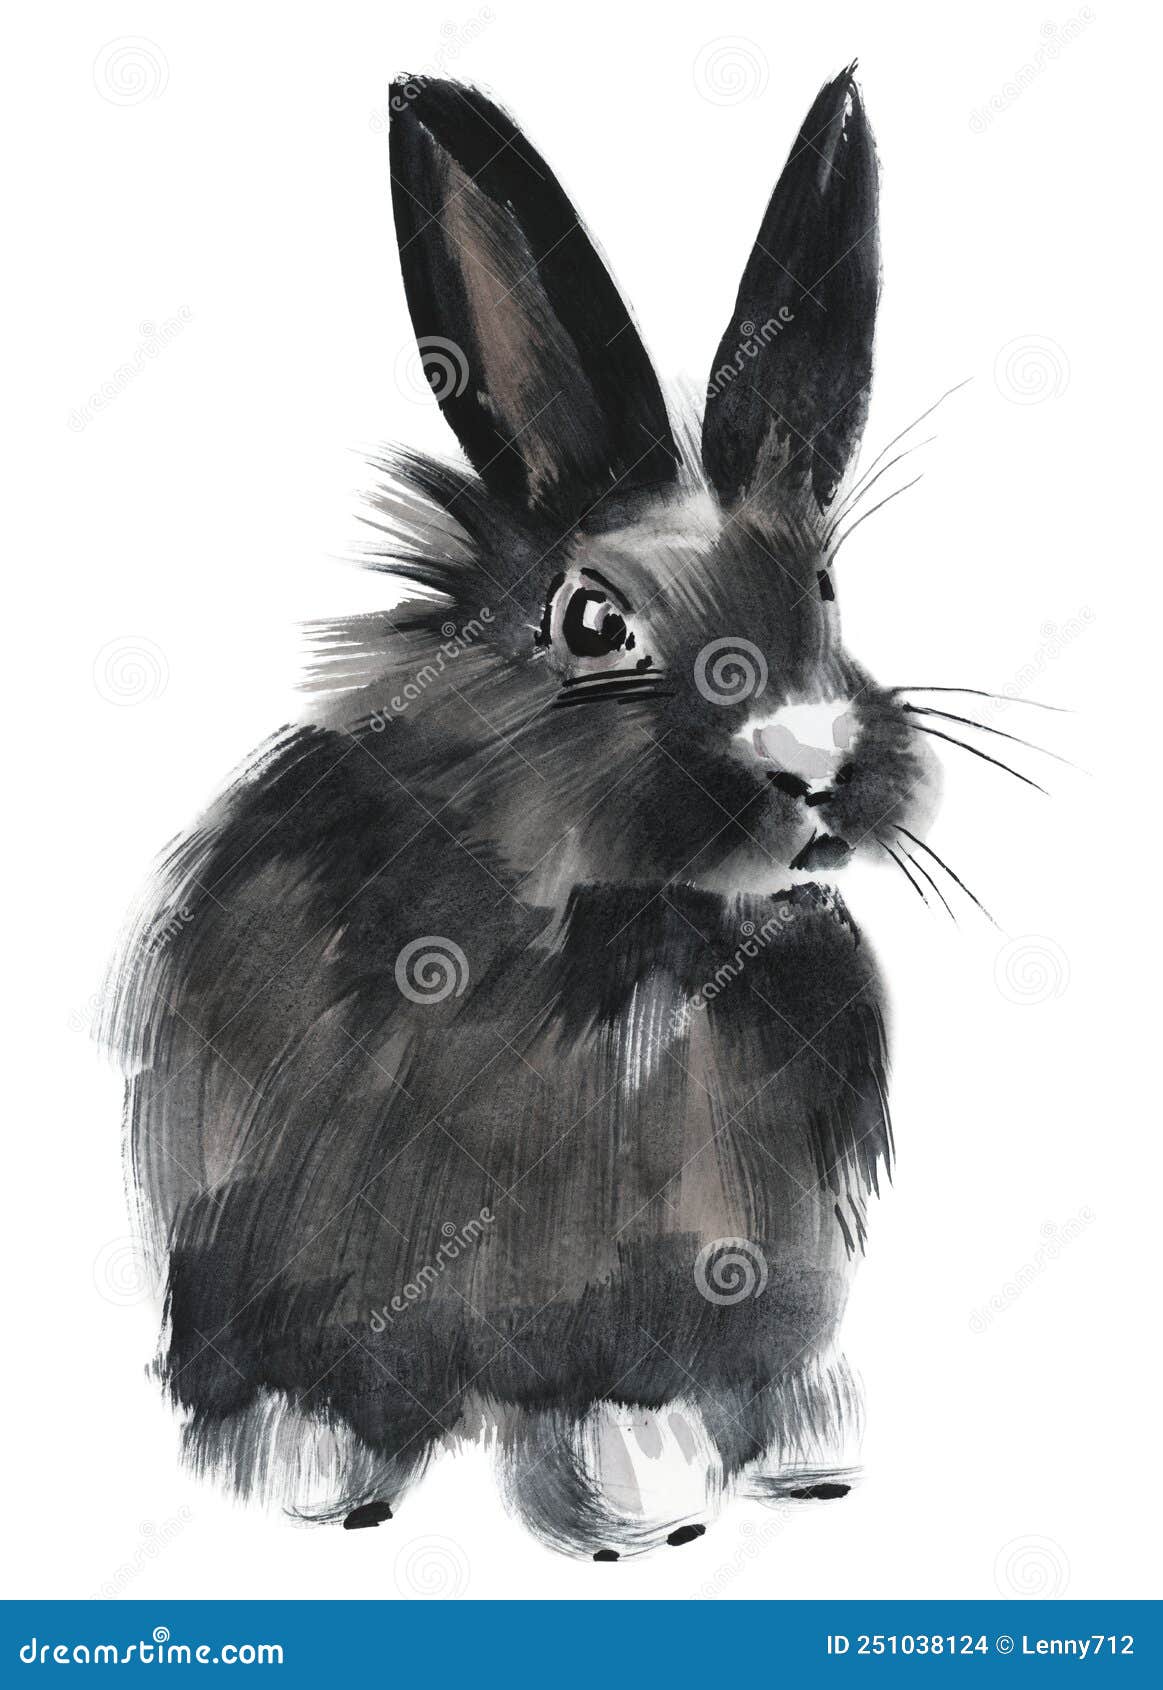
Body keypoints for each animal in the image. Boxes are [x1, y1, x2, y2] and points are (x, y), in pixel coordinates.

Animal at [106, 67, 951, 1560]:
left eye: (825, 588)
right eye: (592, 620)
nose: (812, 759)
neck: (616, 937)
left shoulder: (716, 1256)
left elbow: (641, 1367)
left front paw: (642, 1478)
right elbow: (350, 1364)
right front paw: (312, 1464)